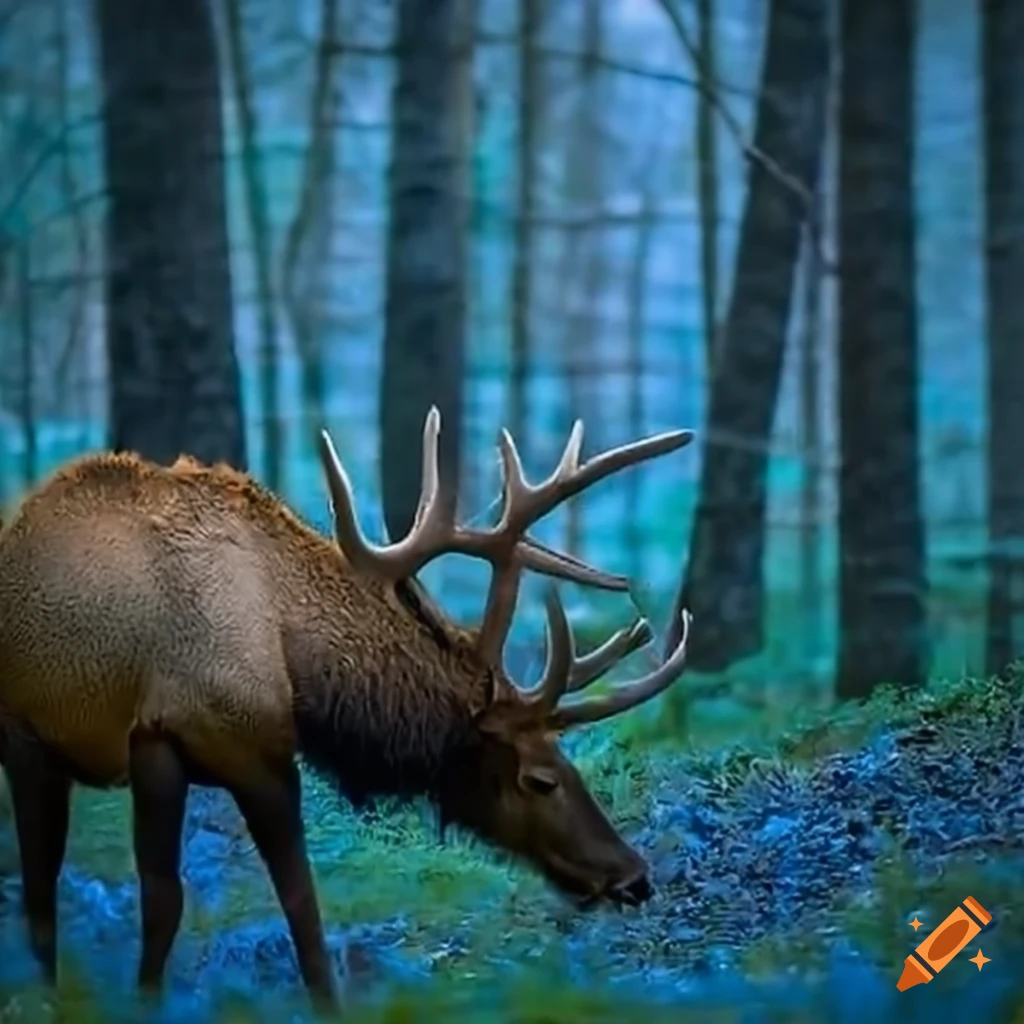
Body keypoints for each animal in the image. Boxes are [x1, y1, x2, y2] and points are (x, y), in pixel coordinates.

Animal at [0, 407, 695, 1012]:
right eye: (541, 778)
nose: (633, 876)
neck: (297, 661)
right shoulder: (183, 740)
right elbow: (240, 906)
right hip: (25, 740)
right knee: (38, 891)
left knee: (37, 894)